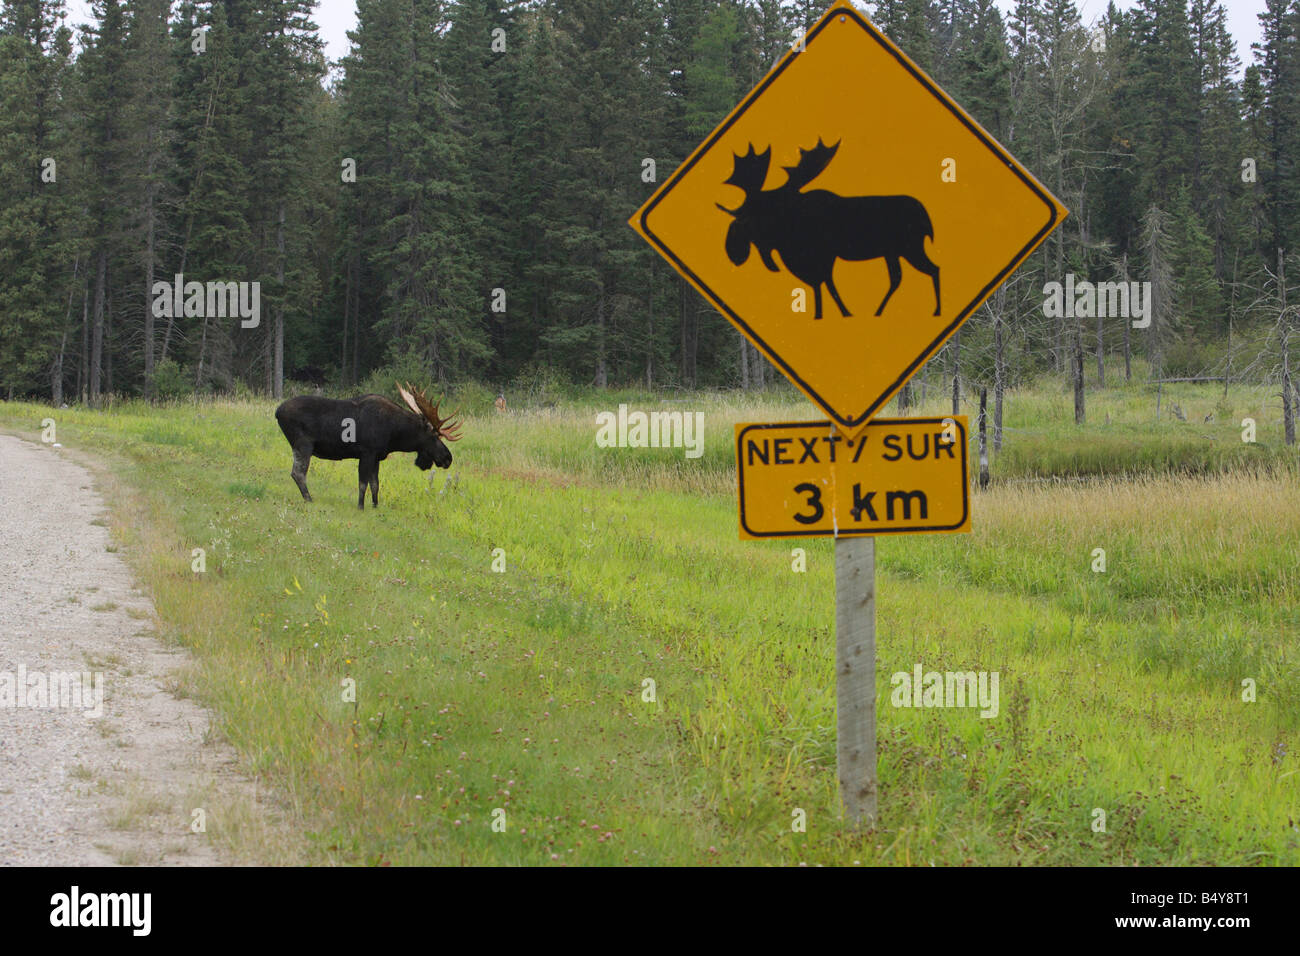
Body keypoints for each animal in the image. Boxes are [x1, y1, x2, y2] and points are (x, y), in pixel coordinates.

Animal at [716, 139, 941, 320]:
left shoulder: (825, 255)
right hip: (894, 252)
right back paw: (879, 311)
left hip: (910, 248)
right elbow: (822, 284)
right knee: (898, 278)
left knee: (933, 269)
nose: (732, 250)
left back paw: (934, 310)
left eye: (750, 218)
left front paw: (842, 312)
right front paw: (825, 314)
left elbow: (827, 283)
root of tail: (926, 216)